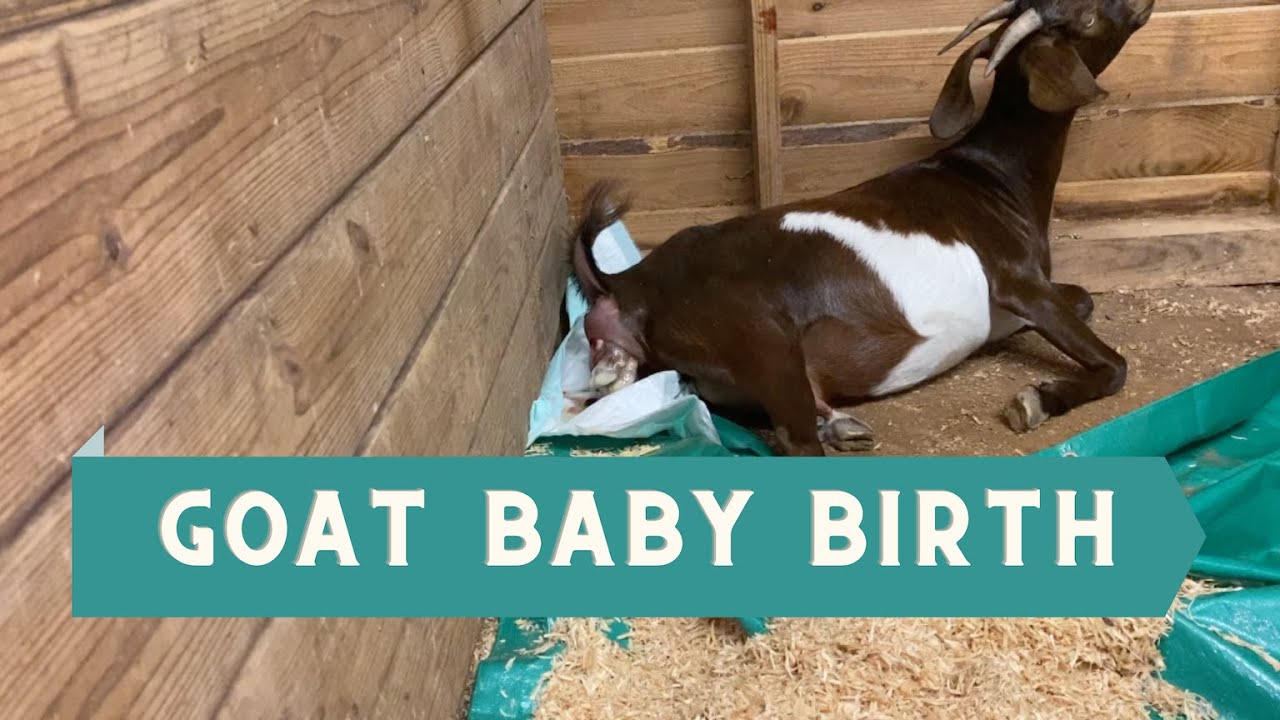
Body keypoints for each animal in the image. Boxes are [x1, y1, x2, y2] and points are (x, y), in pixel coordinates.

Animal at [570, 0, 1153, 456]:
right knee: (797, 441)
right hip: (760, 336)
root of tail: (629, 284)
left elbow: (1084, 298)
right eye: (1088, 17)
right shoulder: (1018, 281)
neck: (995, 176)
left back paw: (840, 423)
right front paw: (1036, 400)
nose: (1142, 1)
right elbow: (1115, 364)